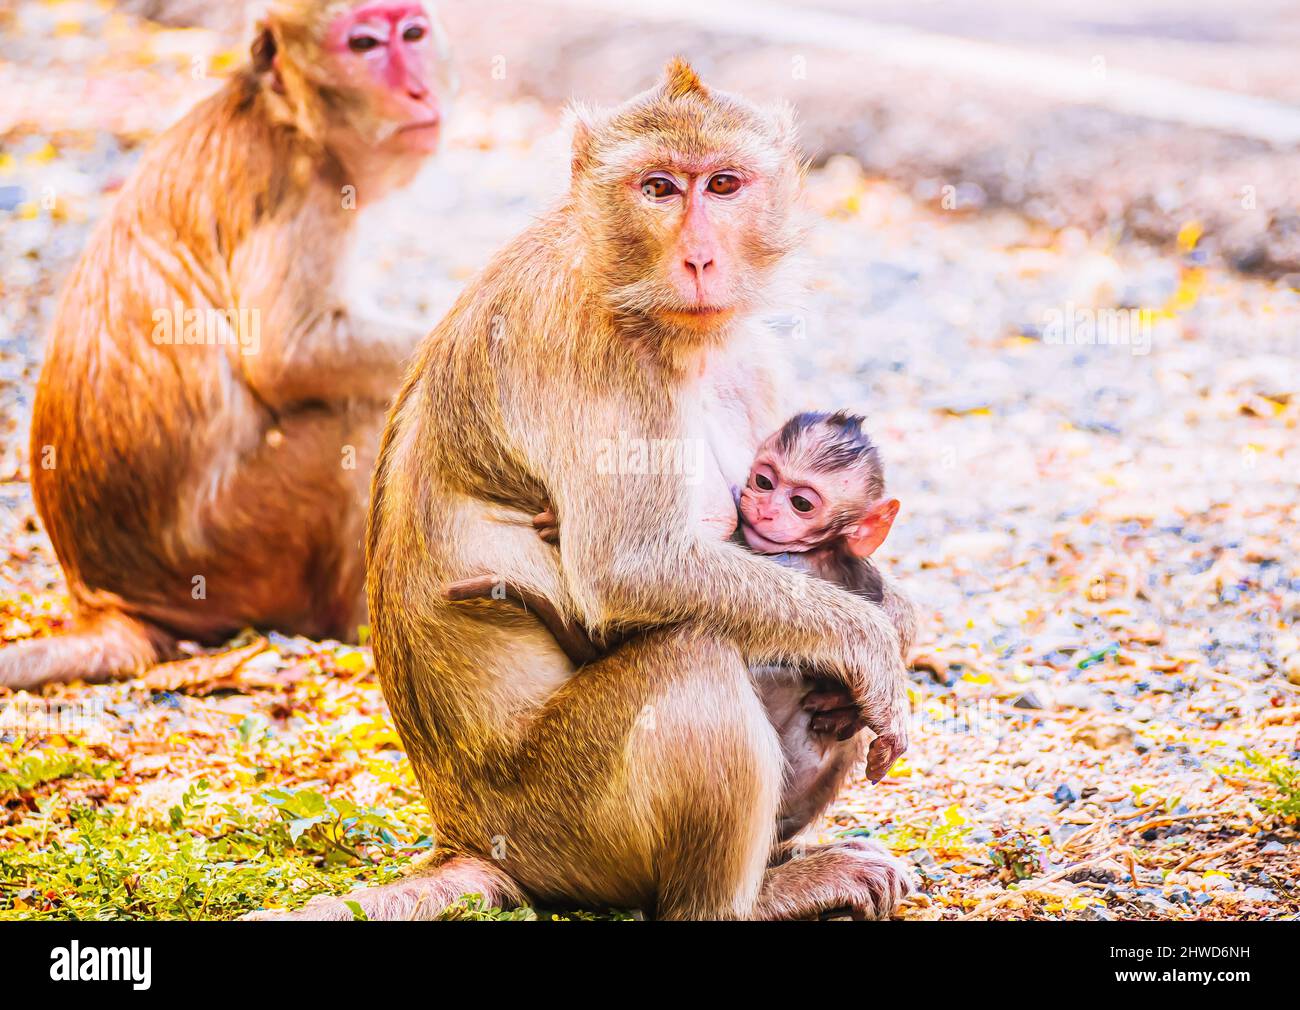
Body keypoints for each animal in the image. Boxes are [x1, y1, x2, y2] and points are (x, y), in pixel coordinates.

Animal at [0, 1, 453, 691]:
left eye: (414, 34)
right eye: (365, 45)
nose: (420, 90)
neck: (282, 113)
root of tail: (102, 597)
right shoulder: (303, 188)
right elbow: (287, 355)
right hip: (232, 549)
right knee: (357, 418)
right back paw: (358, 626)